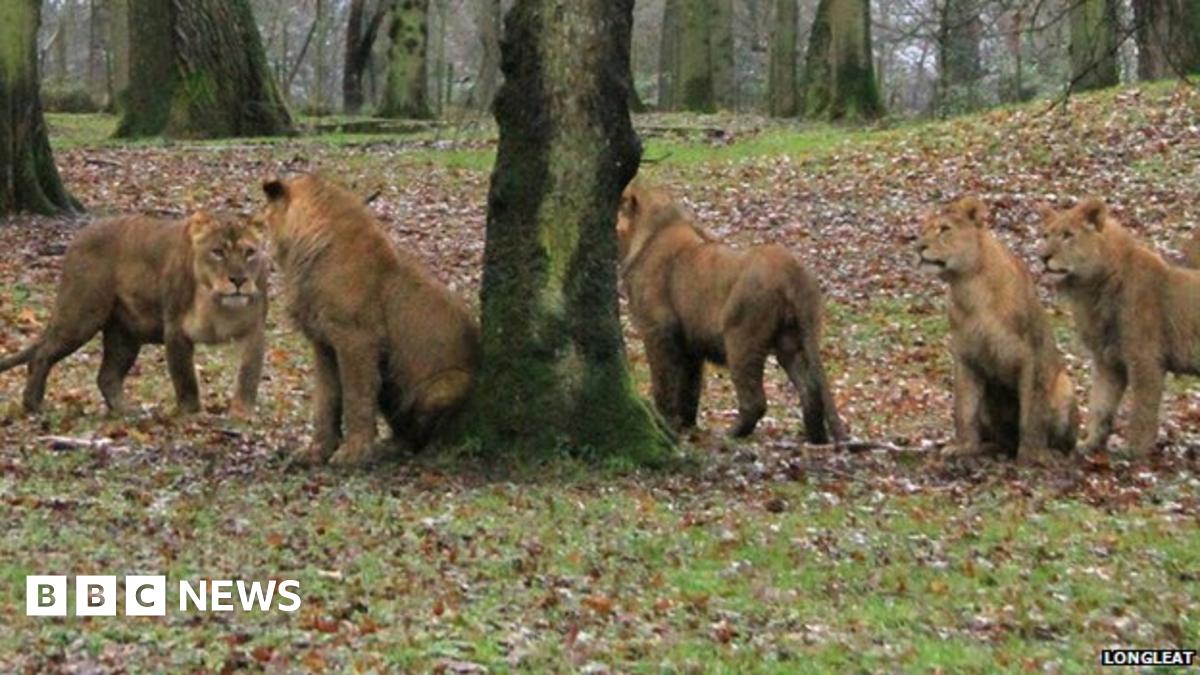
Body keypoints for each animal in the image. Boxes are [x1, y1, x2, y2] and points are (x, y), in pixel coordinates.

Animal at [0, 212, 267, 416]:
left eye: (249, 252)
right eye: (218, 252)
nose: (239, 280)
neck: (217, 302)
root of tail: (80, 235)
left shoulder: (255, 332)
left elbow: (249, 376)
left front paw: (242, 415)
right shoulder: (175, 330)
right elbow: (186, 380)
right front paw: (192, 416)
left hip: (124, 335)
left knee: (107, 376)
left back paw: (127, 412)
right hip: (81, 315)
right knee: (42, 355)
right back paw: (33, 405)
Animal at [260, 174, 480, 467]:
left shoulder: (357, 339)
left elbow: (356, 396)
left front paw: (352, 452)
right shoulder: (324, 343)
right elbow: (326, 399)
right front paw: (317, 450)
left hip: (446, 384)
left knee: (429, 433)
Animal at [617, 184, 845, 443]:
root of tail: (792, 269)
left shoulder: (659, 329)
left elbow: (664, 382)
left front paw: (666, 424)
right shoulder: (690, 342)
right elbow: (689, 387)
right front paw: (686, 426)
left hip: (741, 337)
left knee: (756, 400)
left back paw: (730, 434)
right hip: (793, 338)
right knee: (810, 389)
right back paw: (816, 438)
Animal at [917, 197, 1078, 463]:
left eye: (944, 229)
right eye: (922, 230)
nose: (918, 246)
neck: (969, 287)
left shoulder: (1031, 355)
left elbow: (1032, 411)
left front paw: (1033, 454)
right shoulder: (965, 357)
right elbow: (965, 409)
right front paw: (964, 447)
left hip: (1064, 385)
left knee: (1066, 443)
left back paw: (1054, 452)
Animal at [1039, 198, 1200, 456]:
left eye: (1067, 235)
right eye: (1046, 234)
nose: (1043, 257)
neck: (1091, 291)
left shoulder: (1146, 360)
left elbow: (1142, 411)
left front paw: (1134, 452)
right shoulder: (1107, 361)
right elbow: (1100, 405)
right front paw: (1088, 444)